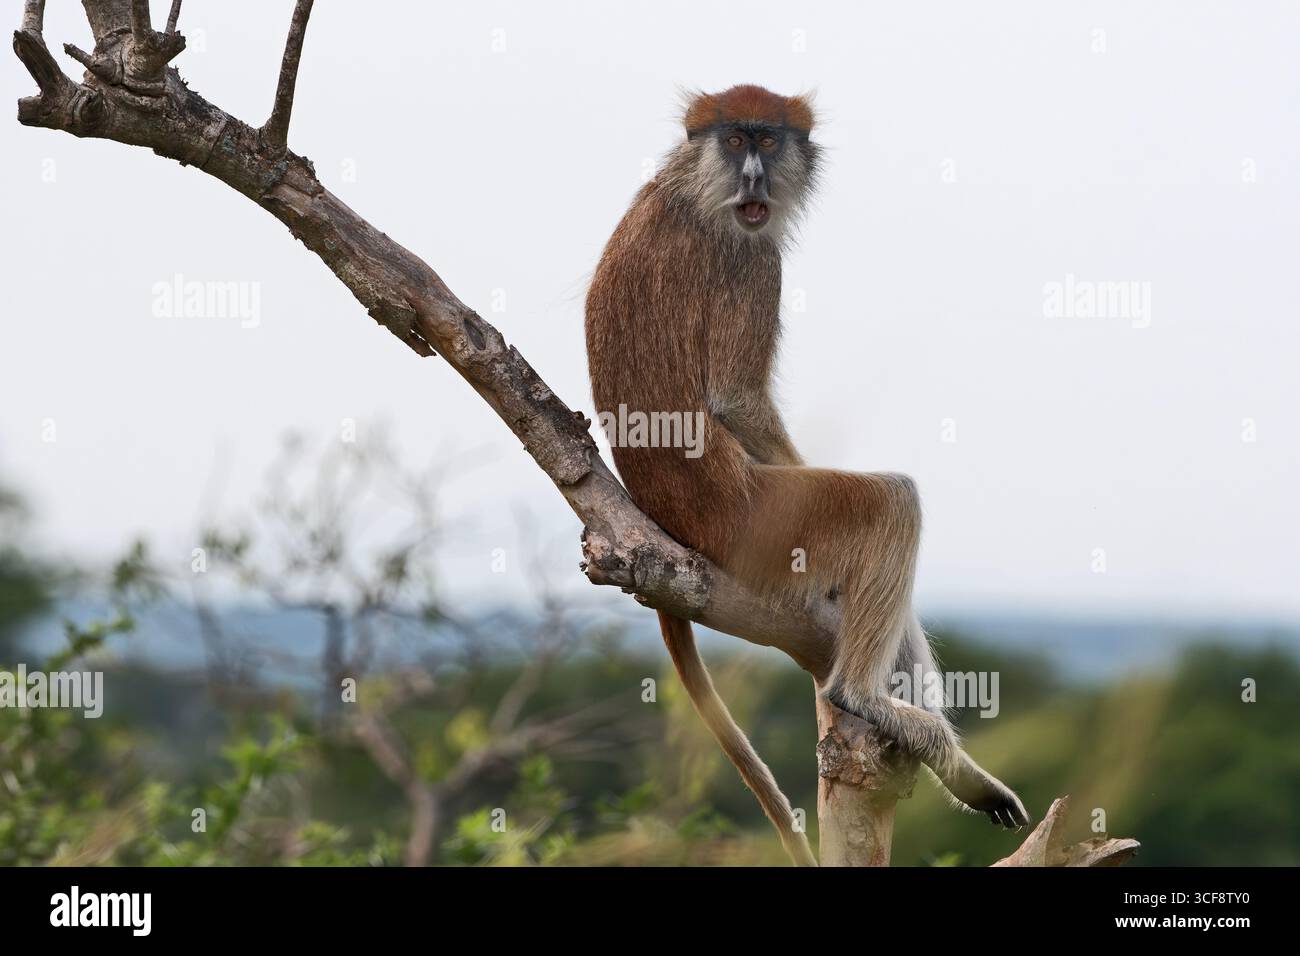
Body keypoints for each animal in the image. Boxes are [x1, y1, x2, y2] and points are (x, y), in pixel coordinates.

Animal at [585, 85, 1029, 865]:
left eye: (767, 138)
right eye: (736, 140)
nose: (754, 177)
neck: (688, 184)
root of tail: (668, 520)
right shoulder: (750, 258)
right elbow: (737, 399)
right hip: (761, 520)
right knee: (890, 501)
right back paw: (863, 697)